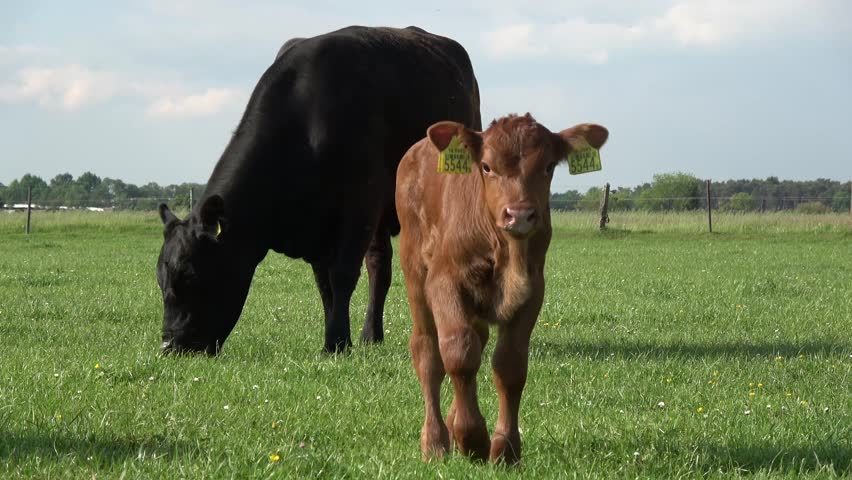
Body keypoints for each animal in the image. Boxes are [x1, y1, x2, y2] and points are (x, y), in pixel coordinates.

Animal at [157, 26, 481, 355]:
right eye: (161, 279)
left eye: (191, 275)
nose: (170, 345)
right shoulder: (317, 223)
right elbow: (324, 282)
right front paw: (337, 339)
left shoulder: (359, 205)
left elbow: (342, 274)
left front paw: (337, 340)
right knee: (379, 265)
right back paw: (371, 335)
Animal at [396, 113, 608, 463]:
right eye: (486, 166)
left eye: (549, 166)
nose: (519, 214)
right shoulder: (444, 280)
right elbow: (458, 352)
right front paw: (472, 438)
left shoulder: (533, 289)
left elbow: (510, 365)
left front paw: (504, 449)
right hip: (414, 269)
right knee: (427, 352)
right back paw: (436, 441)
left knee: (478, 339)